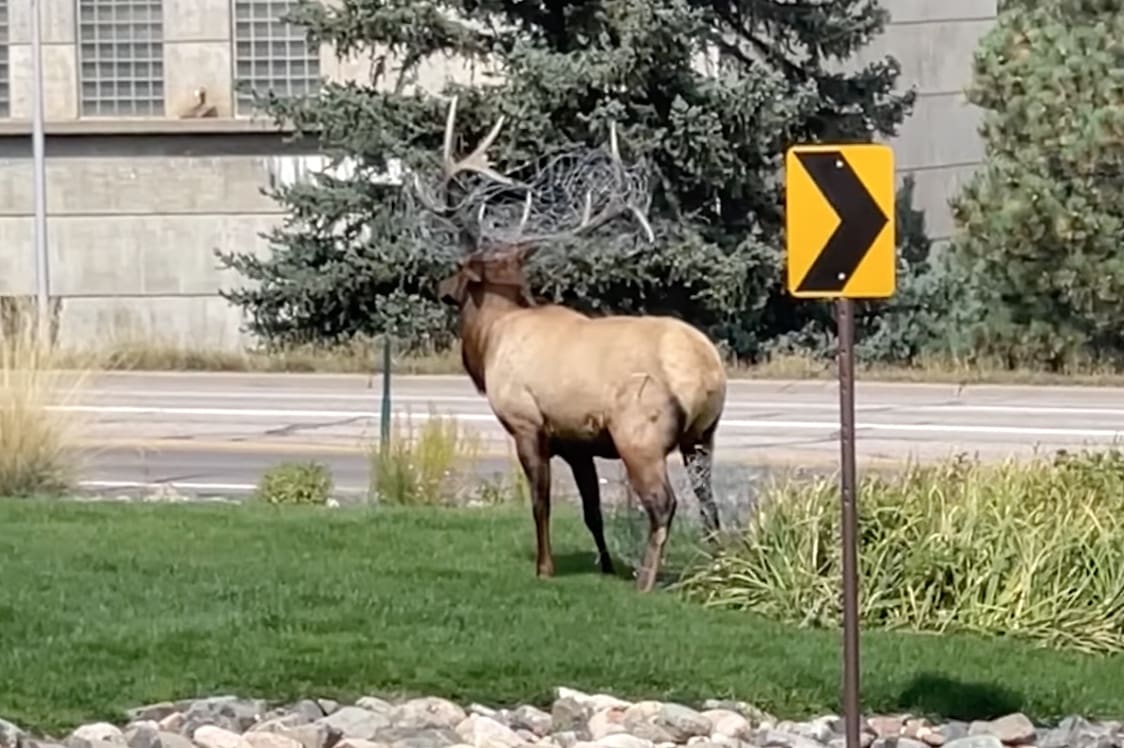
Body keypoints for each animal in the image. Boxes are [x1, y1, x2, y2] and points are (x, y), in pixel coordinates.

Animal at [410, 95, 728, 593]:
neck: (491, 340)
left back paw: (646, 581)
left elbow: (540, 502)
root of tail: (706, 370)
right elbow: (591, 509)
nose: (439, 287)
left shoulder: (527, 422)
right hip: (704, 434)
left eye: (460, 267)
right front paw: (605, 564)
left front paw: (545, 567)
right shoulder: (578, 439)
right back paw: (720, 571)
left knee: (664, 503)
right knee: (709, 506)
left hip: (639, 433)